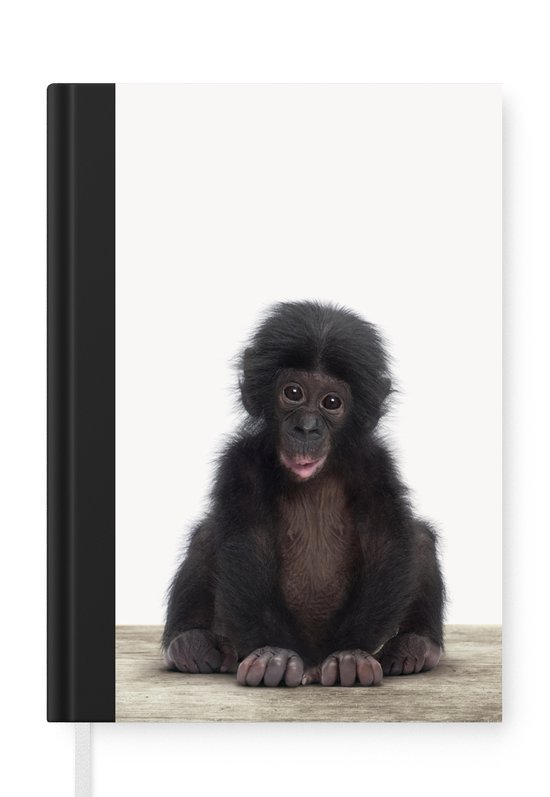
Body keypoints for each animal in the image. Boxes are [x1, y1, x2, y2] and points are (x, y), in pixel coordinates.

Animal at [163, 301, 445, 687]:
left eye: (331, 402)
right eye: (293, 393)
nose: (307, 427)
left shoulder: (377, 465)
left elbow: (386, 545)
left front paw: (350, 657)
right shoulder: (240, 461)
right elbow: (246, 545)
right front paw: (274, 656)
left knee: (418, 537)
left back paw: (415, 646)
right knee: (206, 535)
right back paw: (189, 643)